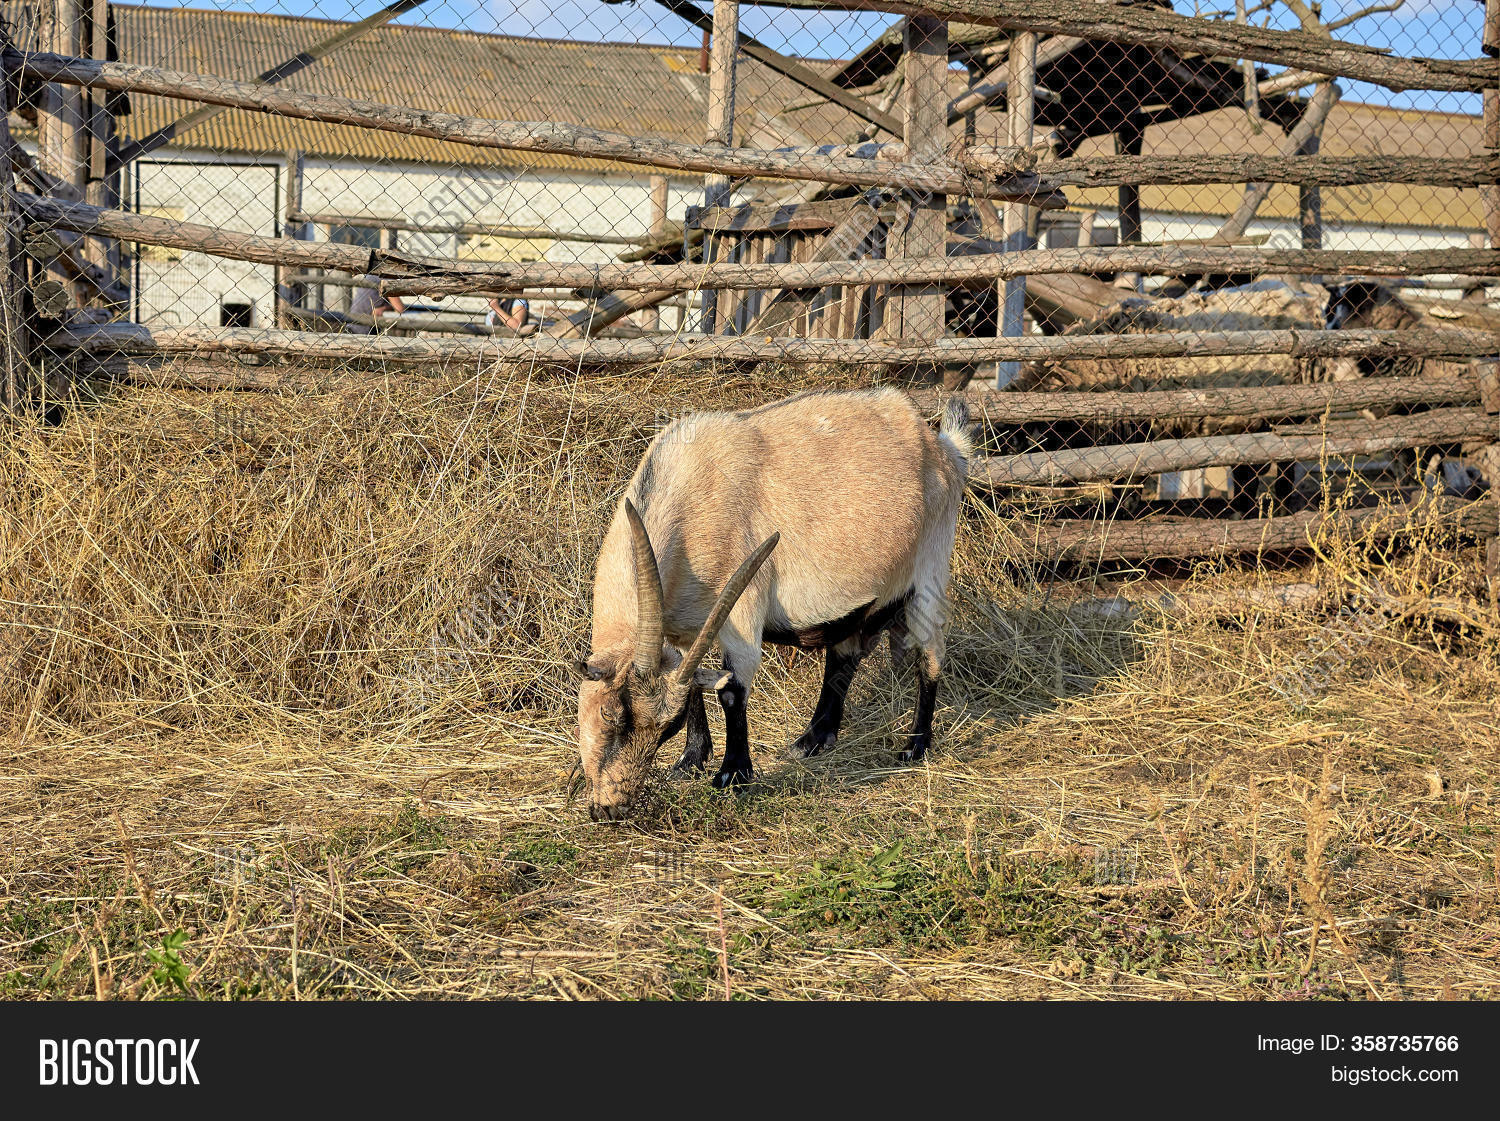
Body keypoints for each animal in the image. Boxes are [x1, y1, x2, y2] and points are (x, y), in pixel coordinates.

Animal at [573, 388, 973, 820]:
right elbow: (695, 687)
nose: (611, 808)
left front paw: (733, 775)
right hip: (862, 601)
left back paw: (915, 745)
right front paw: (690, 761)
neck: (691, 491)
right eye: (613, 714)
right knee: (844, 656)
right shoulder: (682, 630)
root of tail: (944, 447)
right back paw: (813, 739)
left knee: (930, 654)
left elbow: (731, 691)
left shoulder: (742, 614)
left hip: (929, 574)